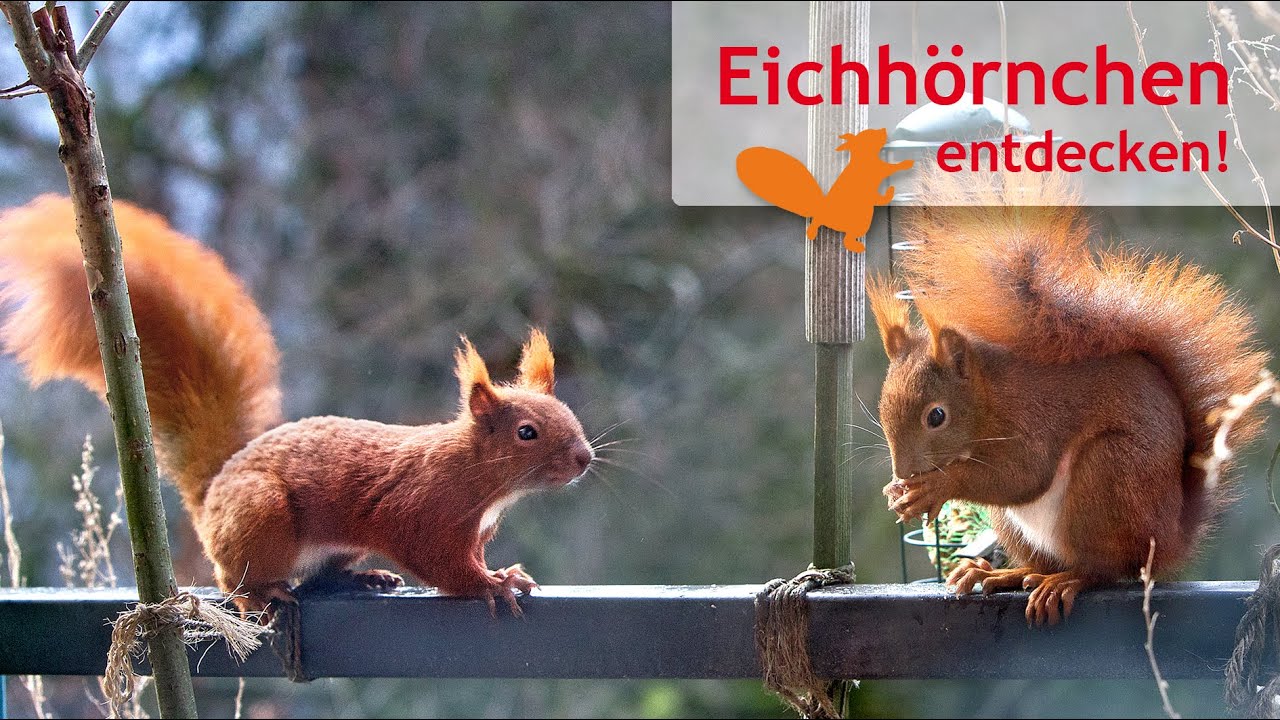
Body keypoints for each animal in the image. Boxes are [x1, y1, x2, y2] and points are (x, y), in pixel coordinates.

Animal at [0, 195, 596, 617]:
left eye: (571, 418)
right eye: (526, 432)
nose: (584, 458)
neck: (479, 474)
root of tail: (213, 495)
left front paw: (501, 574)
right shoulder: (420, 511)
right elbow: (442, 564)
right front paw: (493, 585)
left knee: (320, 576)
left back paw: (362, 577)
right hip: (260, 517)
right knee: (234, 580)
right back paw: (260, 596)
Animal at [869, 170, 1270, 625]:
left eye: (936, 416)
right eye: (883, 407)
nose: (903, 470)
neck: (989, 398)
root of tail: (1167, 539)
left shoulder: (1031, 417)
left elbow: (1023, 474)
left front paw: (936, 486)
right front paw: (895, 492)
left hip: (1108, 476)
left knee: (1104, 569)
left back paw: (1067, 581)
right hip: (1021, 524)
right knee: (1040, 562)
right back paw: (1000, 573)